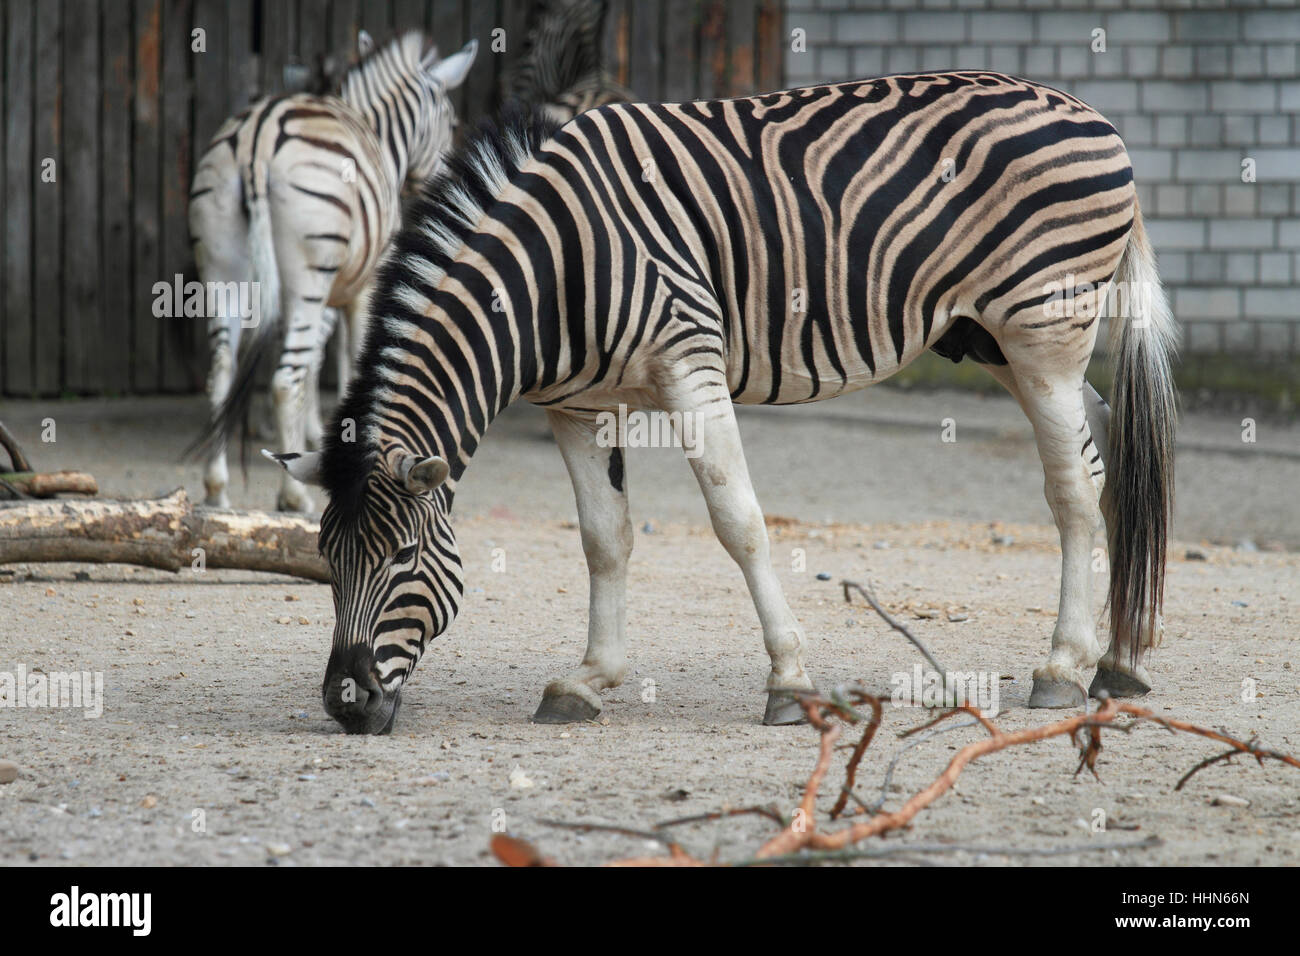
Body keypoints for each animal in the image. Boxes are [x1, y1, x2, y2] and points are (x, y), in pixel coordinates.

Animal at [188, 30, 477, 512]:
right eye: (451, 121)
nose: (442, 180)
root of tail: (256, 137)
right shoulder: (363, 288)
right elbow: (349, 366)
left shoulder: (327, 291)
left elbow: (317, 360)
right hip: (304, 275)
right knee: (284, 380)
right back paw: (293, 496)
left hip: (222, 268)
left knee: (222, 371)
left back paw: (216, 485)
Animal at [266, 73, 1178, 735]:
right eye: (326, 558)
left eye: (401, 560)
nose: (344, 707)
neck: (549, 274)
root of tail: (1089, 111)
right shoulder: (577, 406)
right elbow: (603, 538)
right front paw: (587, 682)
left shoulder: (690, 364)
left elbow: (738, 522)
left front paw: (790, 682)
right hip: (994, 338)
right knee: (1112, 453)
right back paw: (1120, 660)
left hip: (1043, 330)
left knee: (1074, 488)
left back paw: (1062, 667)